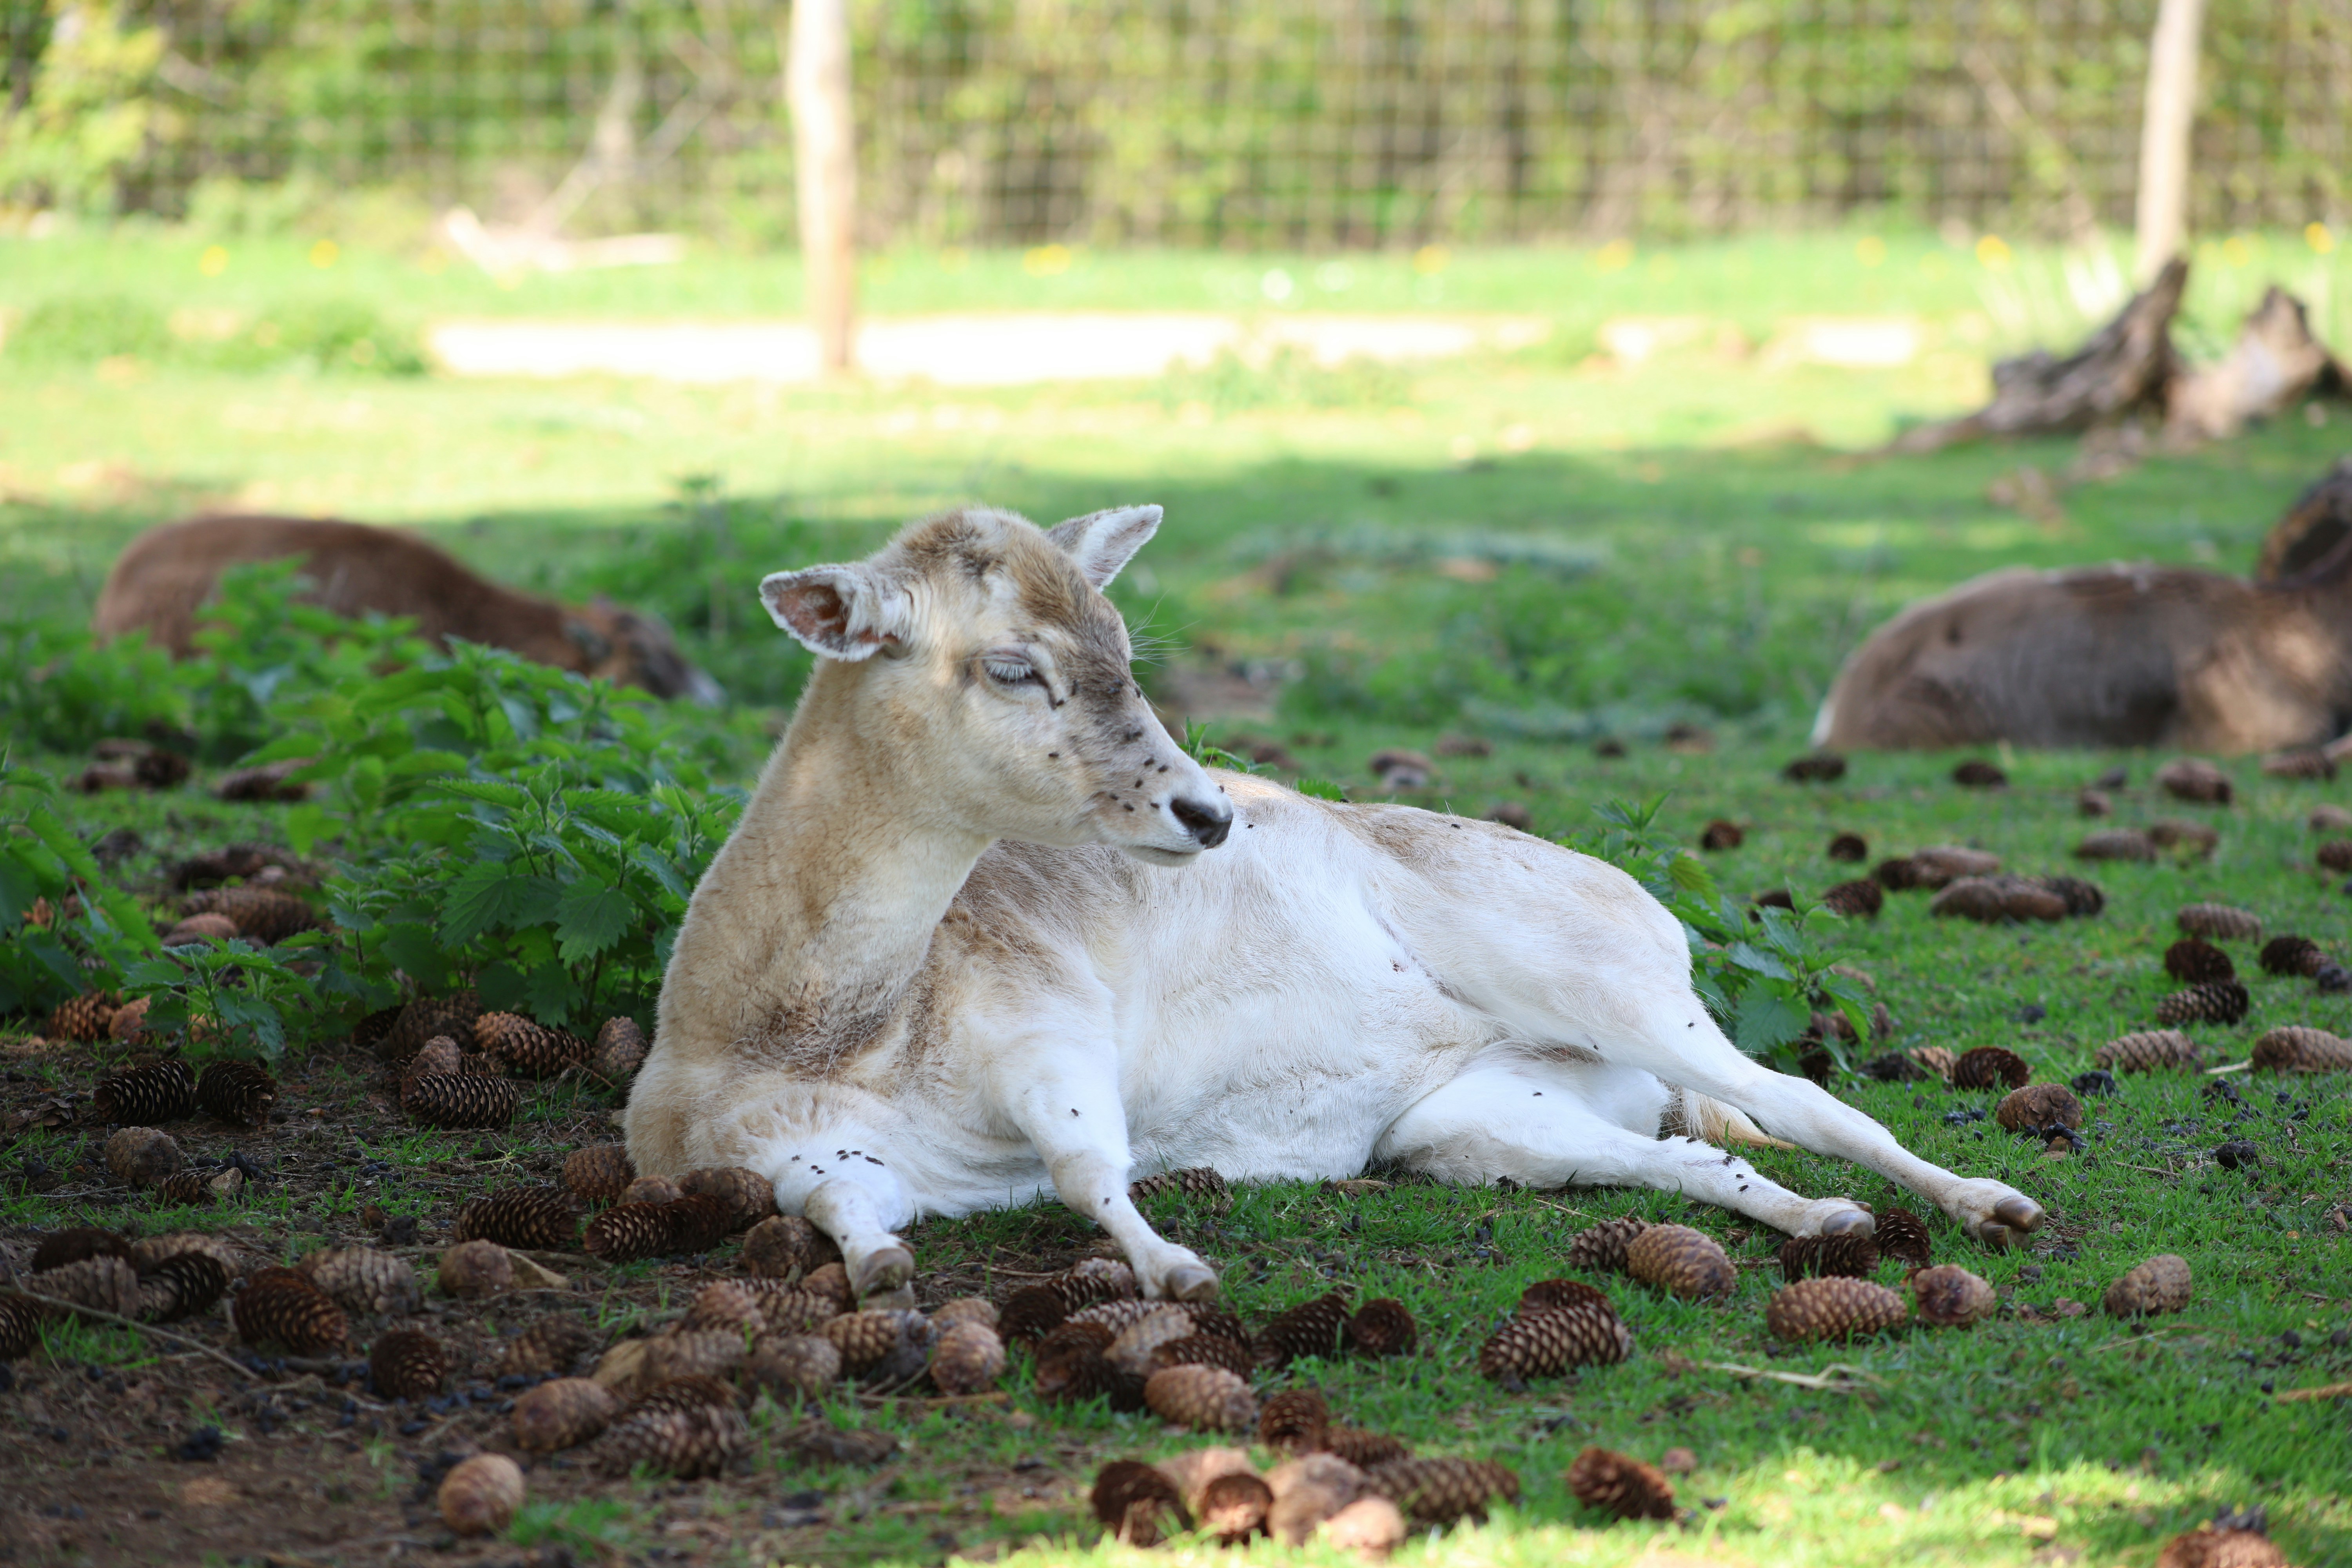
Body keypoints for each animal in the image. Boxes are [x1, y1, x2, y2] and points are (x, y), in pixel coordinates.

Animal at [626, 504, 2042, 1303]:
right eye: (1013, 665)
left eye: (1125, 645)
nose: (1207, 812)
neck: (806, 1028)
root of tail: (1649, 908)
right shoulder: (802, 1159)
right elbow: (849, 1216)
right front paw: (884, 1277)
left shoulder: (1049, 1023)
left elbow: (1088, 1164)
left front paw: (1177, 1270)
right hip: (1486, 1124)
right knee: (1688, 1156)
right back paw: (1827, 1222)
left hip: (1605, 979)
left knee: (1798, 1096)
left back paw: (1993, 1205)